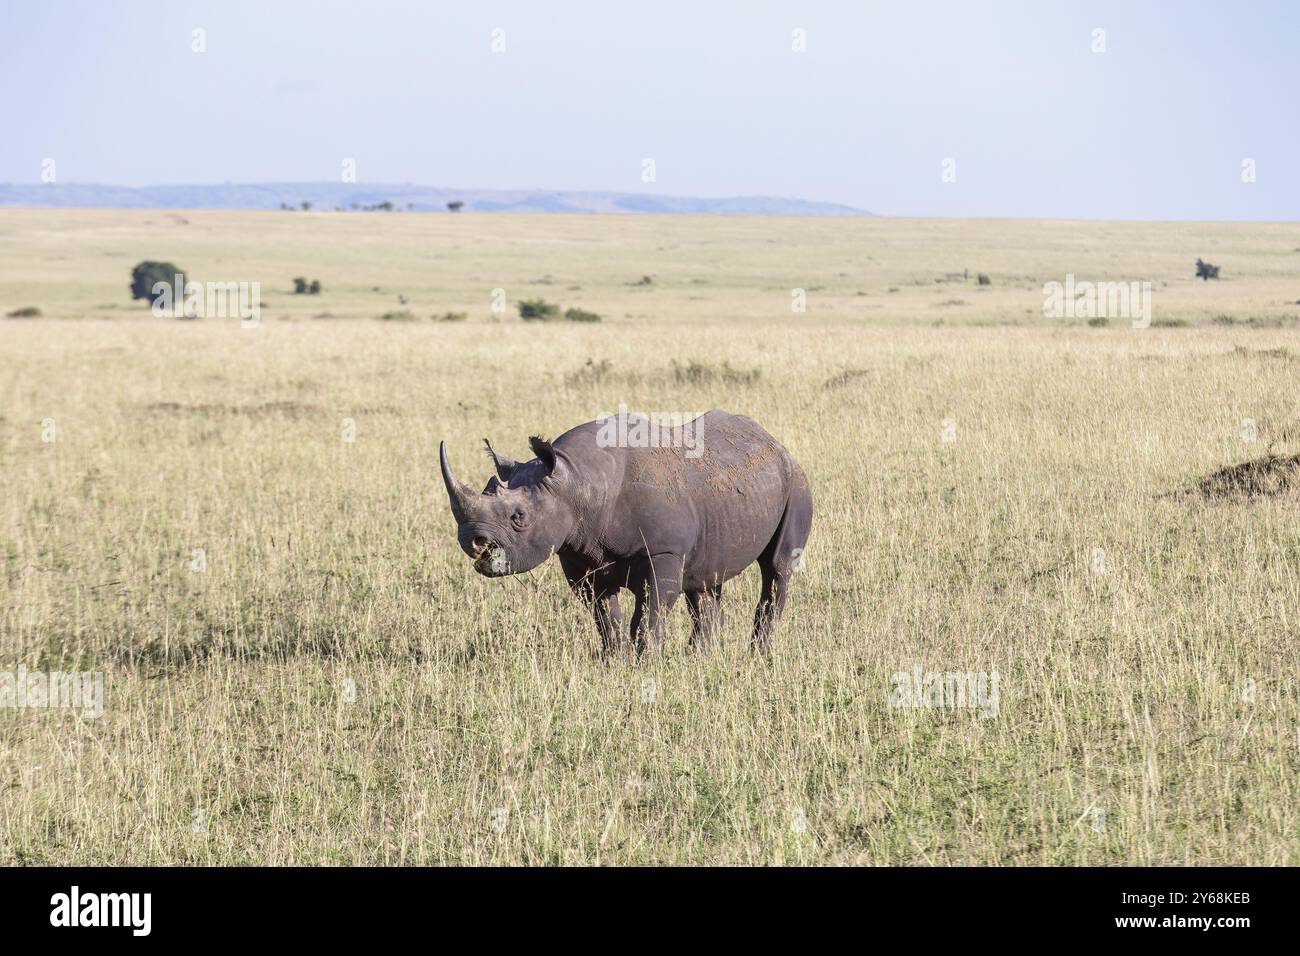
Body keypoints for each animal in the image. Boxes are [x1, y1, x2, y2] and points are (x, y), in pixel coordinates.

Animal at [439, 411, 813, 656]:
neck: (575, 483)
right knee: (705, 581)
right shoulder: (579, 556)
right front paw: (615, 662)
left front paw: (647, 663)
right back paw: (700, 658)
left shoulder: (663, 550)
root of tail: (774, 442)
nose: (473, 541)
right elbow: (605, 617)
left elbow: (648, 615)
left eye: (519, 517)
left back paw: (757, 656)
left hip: (795, 480)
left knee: (777, 568)